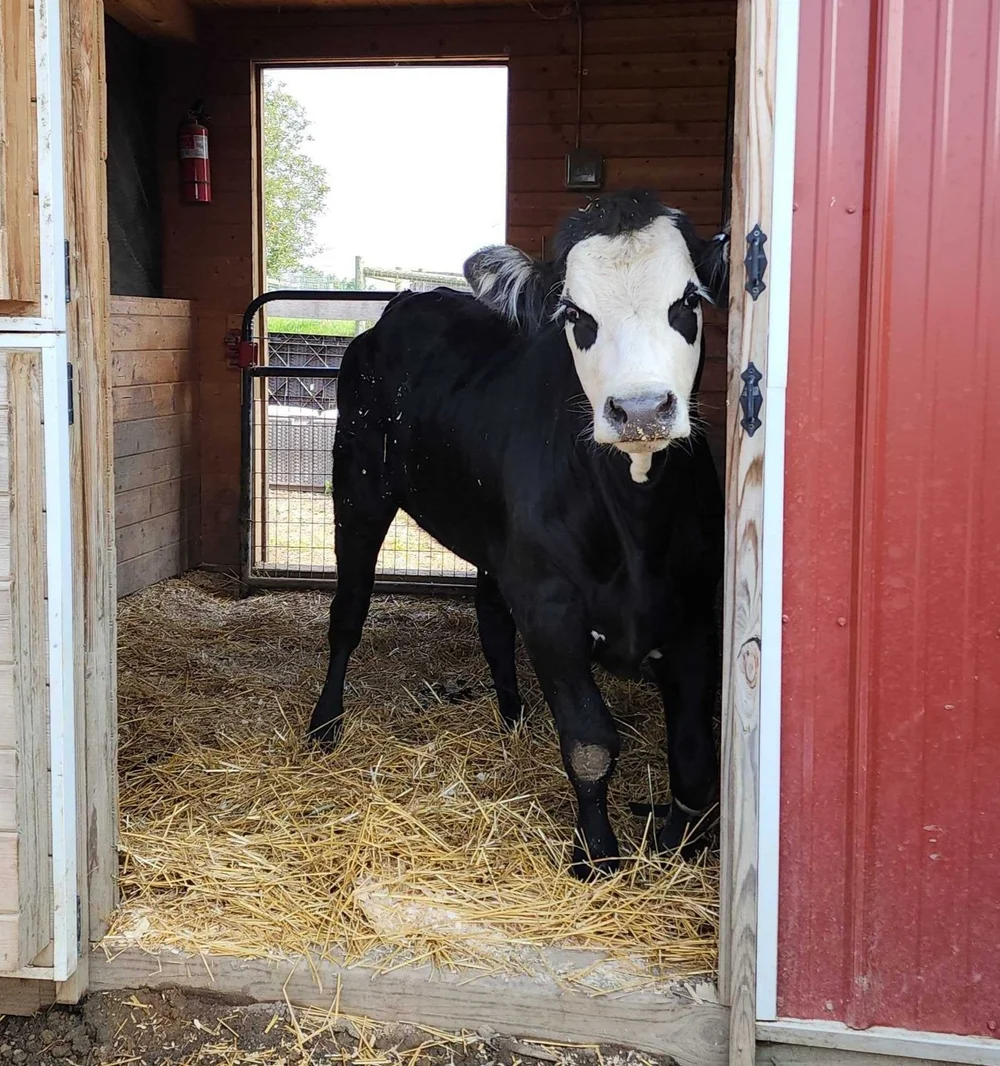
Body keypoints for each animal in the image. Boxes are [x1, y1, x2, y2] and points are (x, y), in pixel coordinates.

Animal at [309, 189, 730, 879]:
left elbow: (696, 760)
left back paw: (512, 715)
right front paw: (598, 856)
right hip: (358, 488)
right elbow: (589, 740)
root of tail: (409, 302)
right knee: (348, 612)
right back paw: (325, 724)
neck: (635, 527)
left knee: (490, 616)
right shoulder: (549, 604)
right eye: (574, 313)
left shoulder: (694, 608)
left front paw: (677, 845)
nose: (640, 409)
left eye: (689, 300)